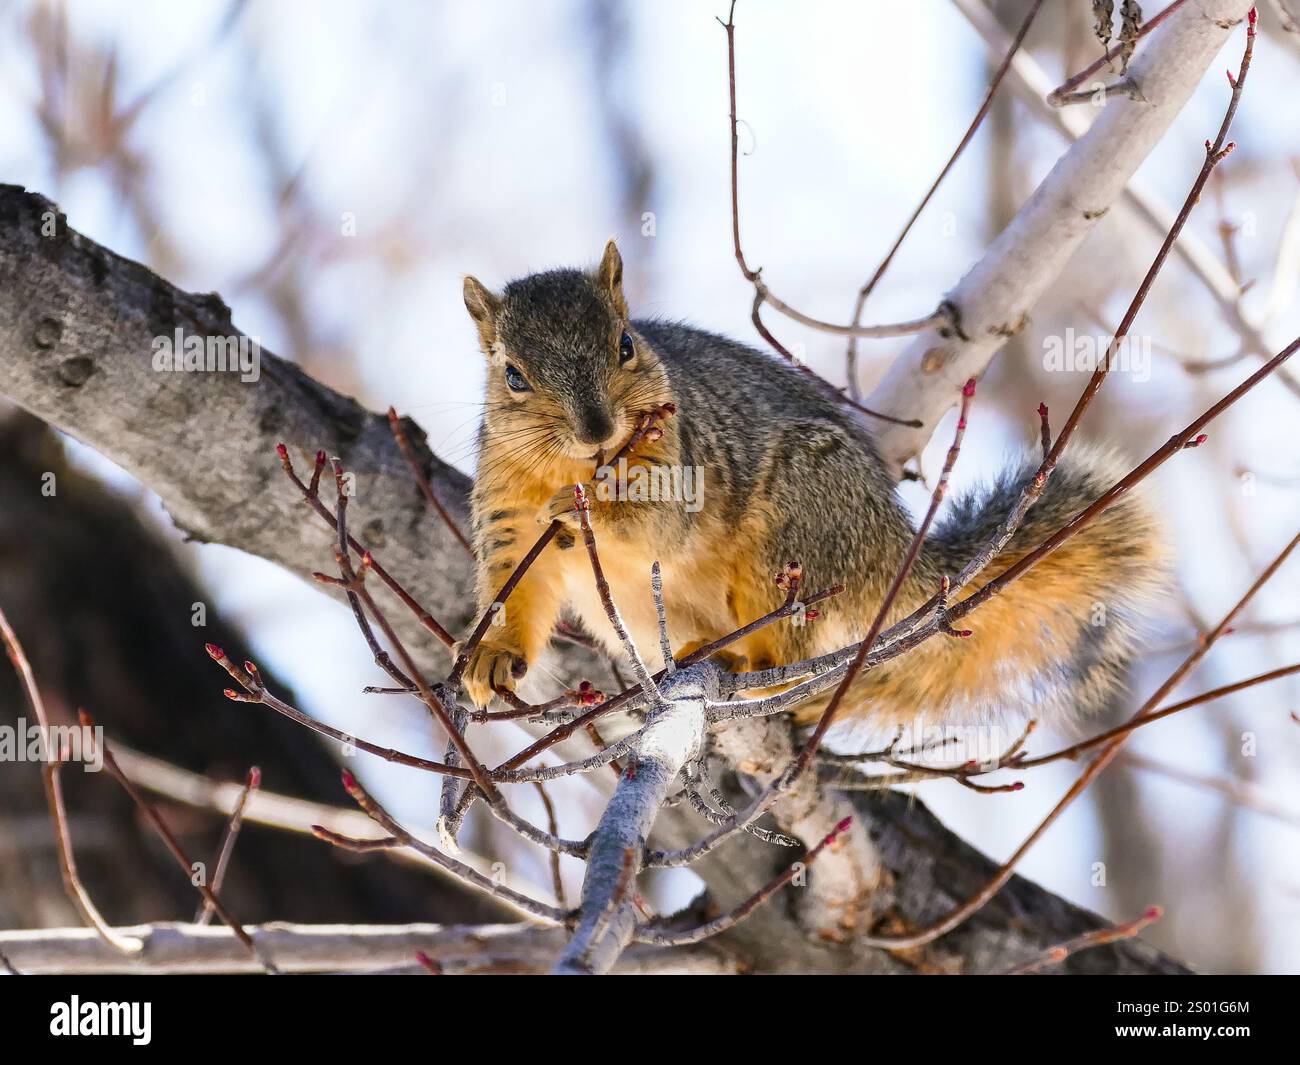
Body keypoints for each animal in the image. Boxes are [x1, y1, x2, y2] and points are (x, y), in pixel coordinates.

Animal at [458, 240, 1168, 733]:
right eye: (512, 375)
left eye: (626, 344)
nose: (598, 429)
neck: (577, 467)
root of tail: (890, 547)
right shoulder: (506, 511)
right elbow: (517, 585)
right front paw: (492, 654)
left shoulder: (680, 458)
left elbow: (656, 524)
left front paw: (583, 514)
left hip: (800, 526)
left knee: (789, 647)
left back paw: (750, 664)